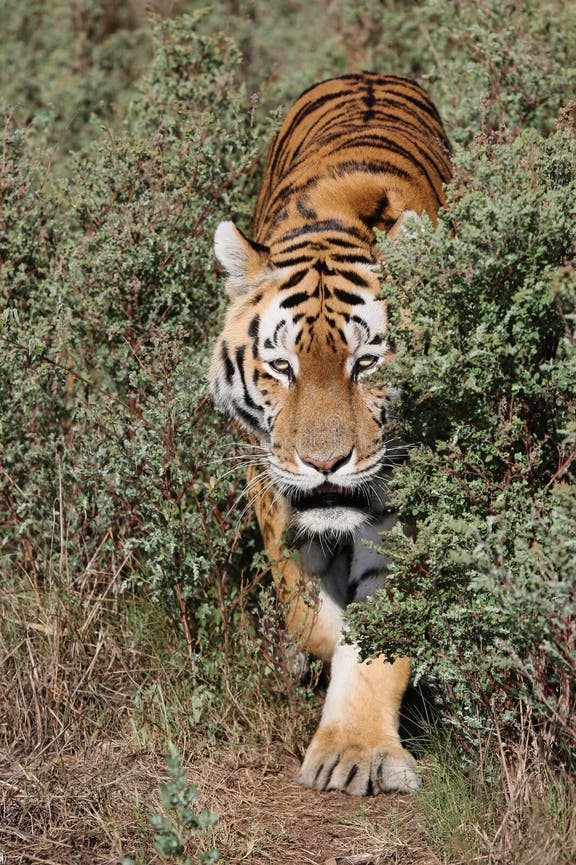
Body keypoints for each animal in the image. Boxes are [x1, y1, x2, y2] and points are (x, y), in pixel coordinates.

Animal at [209, 72, 452, 796]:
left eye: (365, 362)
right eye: (282, 366)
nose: (324, 464)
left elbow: (378, 636)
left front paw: (353, 752)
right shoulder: (266, 471)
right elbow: (307, 608)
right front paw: (316, 640)